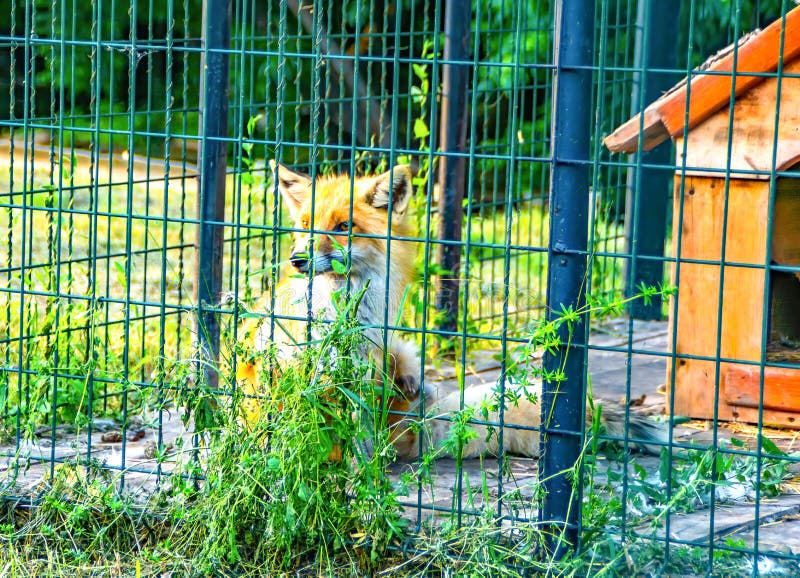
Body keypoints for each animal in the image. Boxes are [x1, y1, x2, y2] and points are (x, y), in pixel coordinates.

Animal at [236, 162, 664, 460]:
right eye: (305, 224)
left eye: (343, 226)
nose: (297, 260)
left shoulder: (366, 369)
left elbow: (357, 434)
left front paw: (359, 474)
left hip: (399, 357)